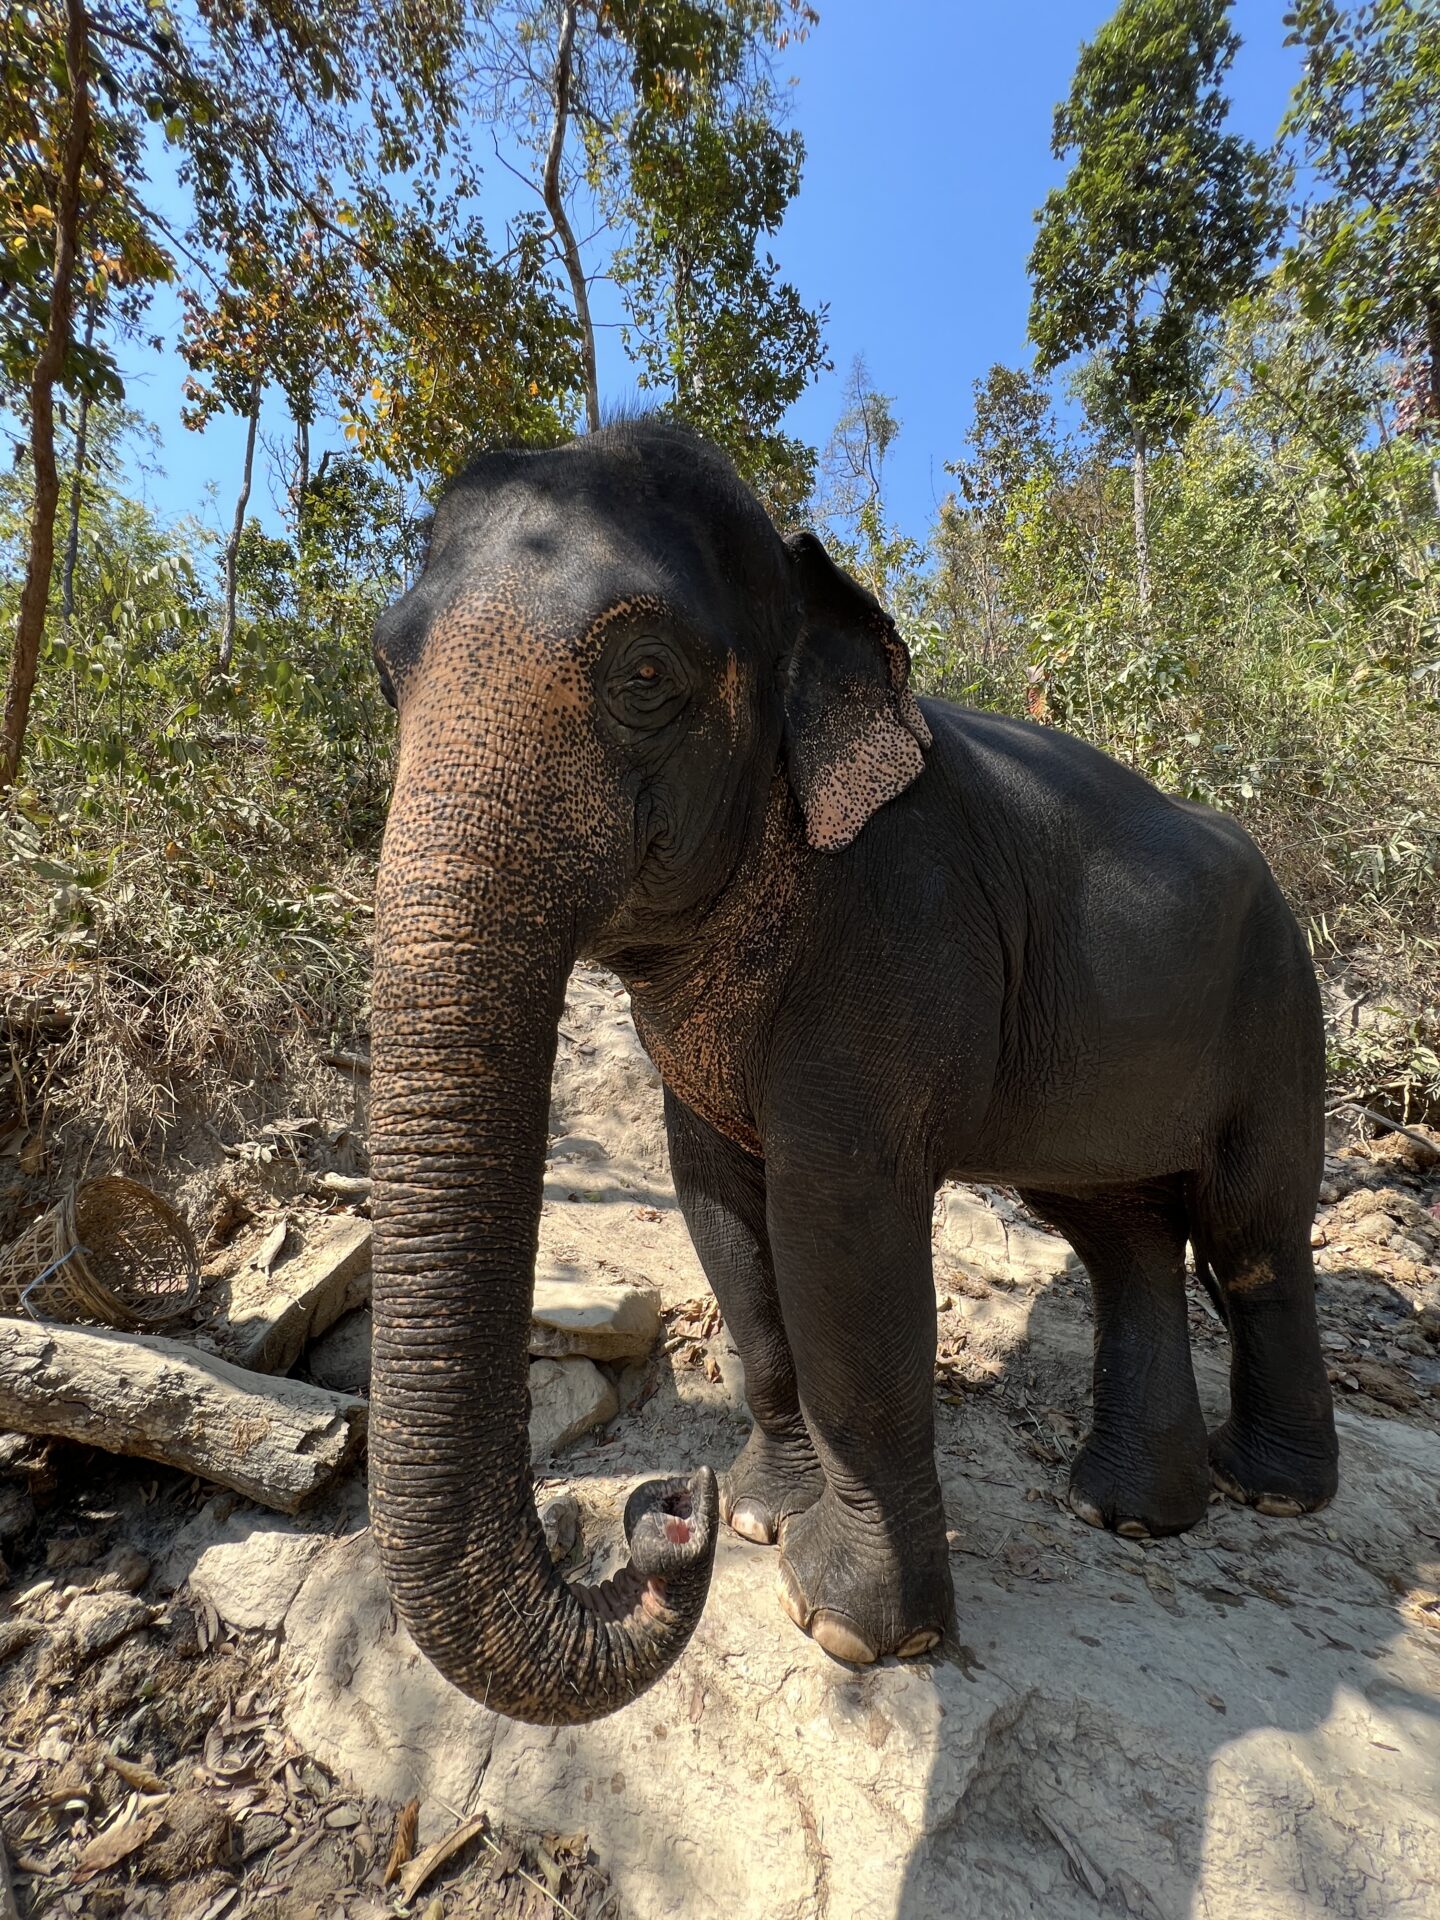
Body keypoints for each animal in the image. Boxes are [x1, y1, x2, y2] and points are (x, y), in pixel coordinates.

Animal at [367, 416, 1338, 1728]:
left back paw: (1271, 1495)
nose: (669, 1508)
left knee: (1251, 1233)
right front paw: (761, 1514)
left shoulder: (900, 924)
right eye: (386, 676)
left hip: (1282, 1008)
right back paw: (1129, 1514)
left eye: (645, 677)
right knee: (1121, 1233)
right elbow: (723, 1212)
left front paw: (848, 1628)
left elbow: (841, 1237)